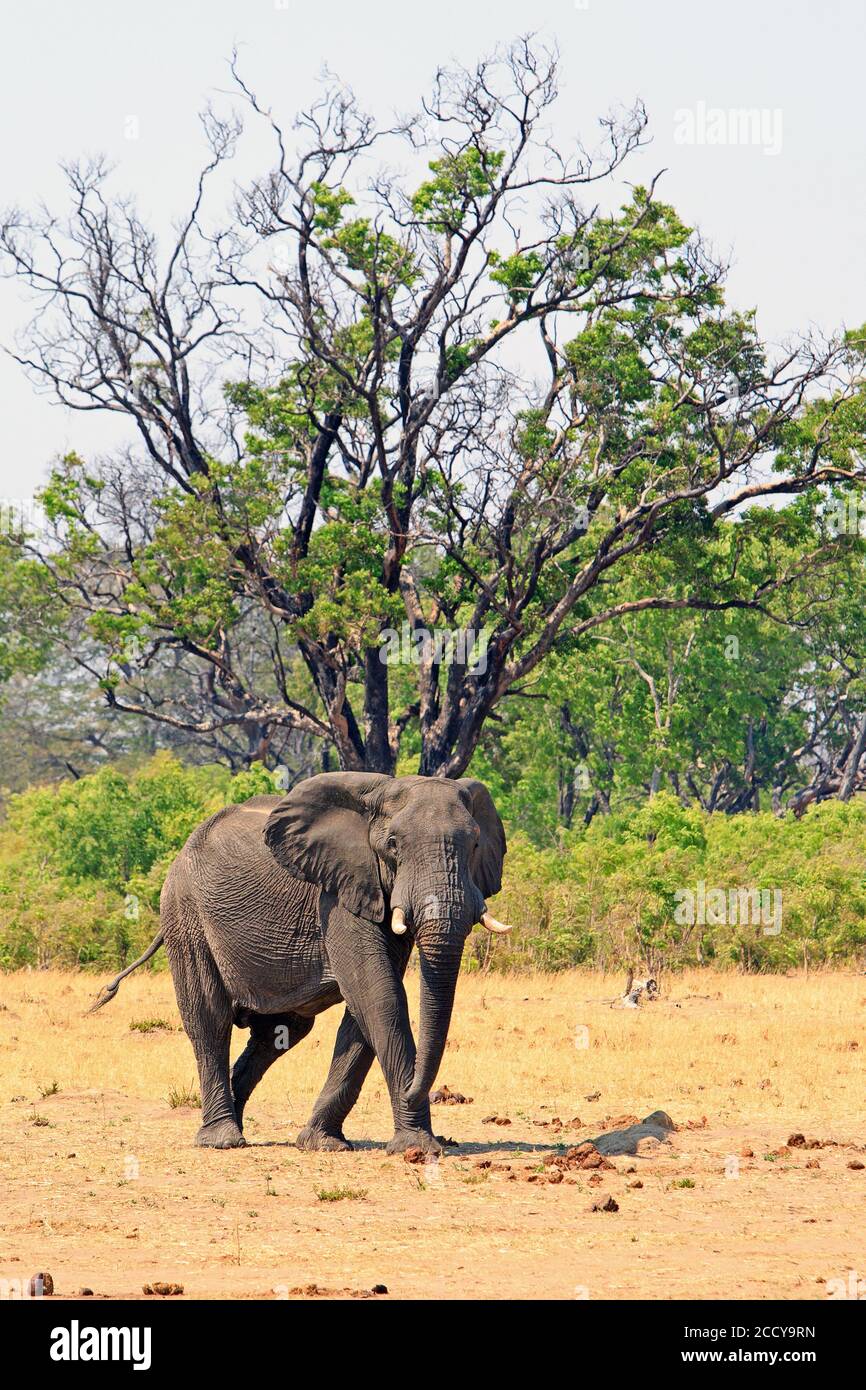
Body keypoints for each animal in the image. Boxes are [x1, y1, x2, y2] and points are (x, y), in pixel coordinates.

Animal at [89, 772, 511, 1155]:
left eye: (475, 843)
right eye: (393, 845)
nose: (425, 1093)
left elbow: (365, 1008)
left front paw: (321, 1144)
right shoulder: (337, 897)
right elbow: (379, 996)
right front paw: (419, 1149)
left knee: (278, 1034)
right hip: (185, 913)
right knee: (208, 1019)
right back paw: (222, 1140)